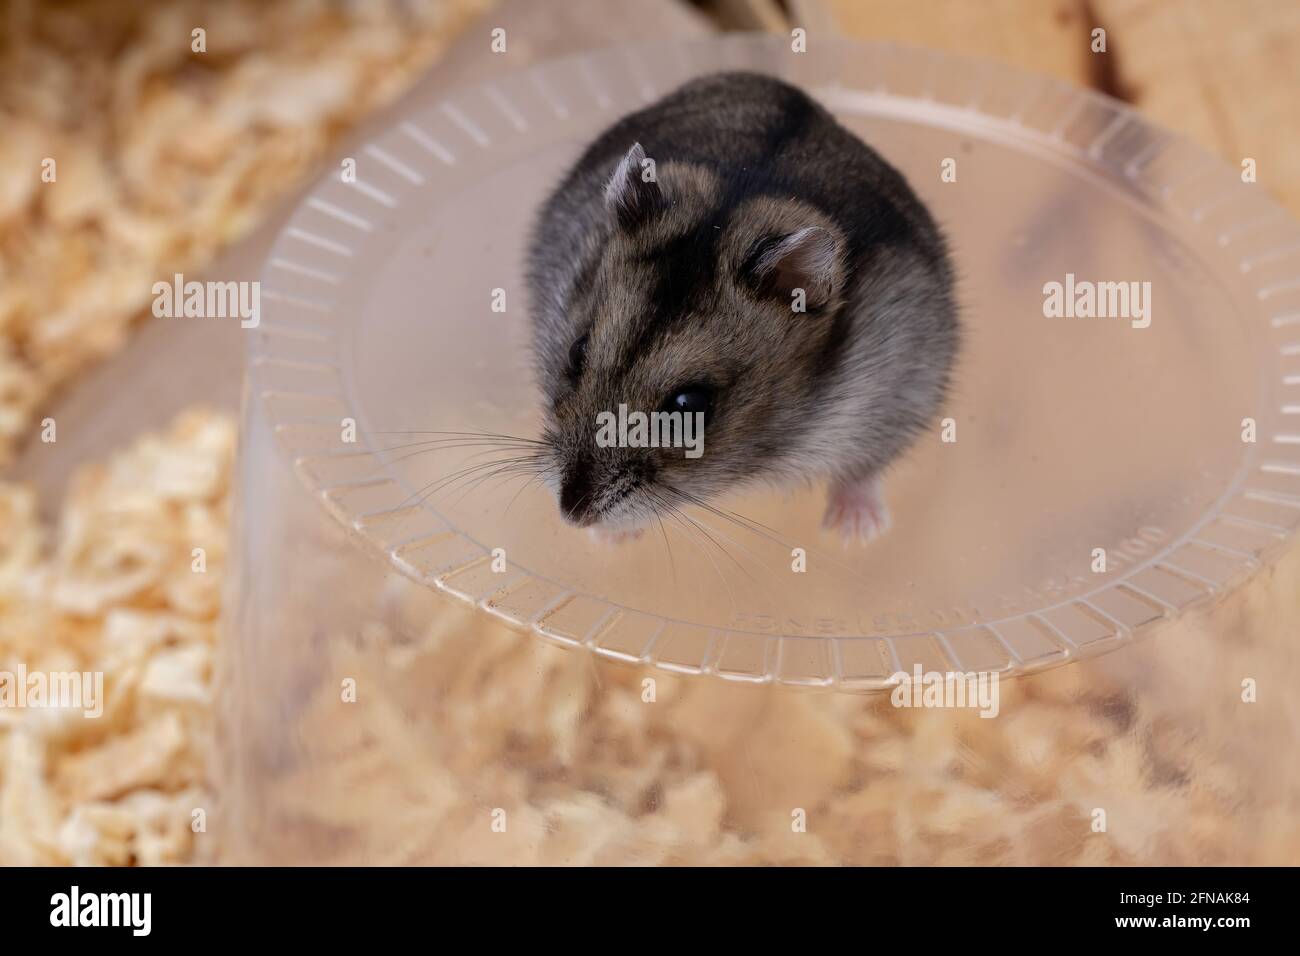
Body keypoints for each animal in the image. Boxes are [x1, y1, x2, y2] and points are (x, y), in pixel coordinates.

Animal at [526, 71, 958, 544]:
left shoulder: (901, 391)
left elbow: (863, 467)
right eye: (577, 351)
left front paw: (855, 533)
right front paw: (609, 540)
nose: (571, 516)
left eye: (690, 405)